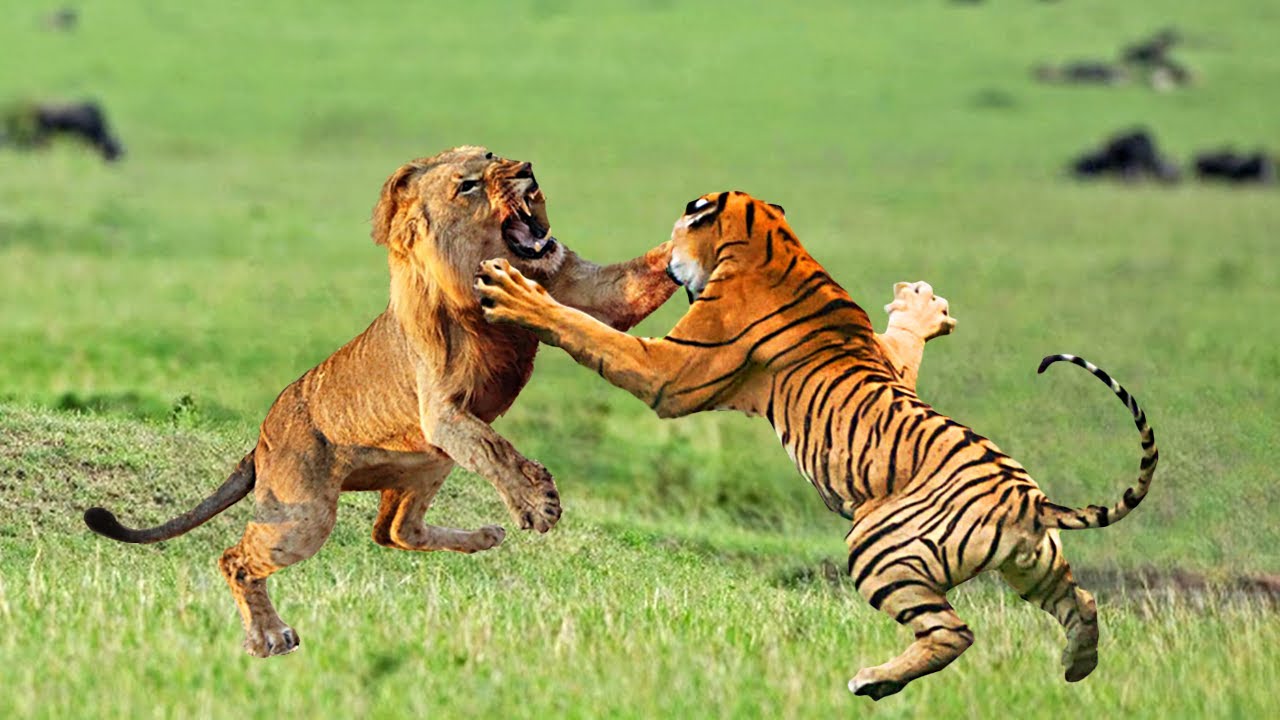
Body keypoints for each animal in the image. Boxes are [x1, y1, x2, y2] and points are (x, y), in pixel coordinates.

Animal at [83, 146, 678, 657]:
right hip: (306, 514)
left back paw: (482, 537)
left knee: (393, 531)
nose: (526, 169)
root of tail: (260, 440)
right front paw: (537, 503)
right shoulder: (442, 411)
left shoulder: (584, 292)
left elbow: (630, 284)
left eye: (492, 155)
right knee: (237, 558)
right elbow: (496, 450)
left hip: (424, 464)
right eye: (468, 185)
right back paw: (270, 636)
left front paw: (690, 234)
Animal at [473, 190, 1159, 699]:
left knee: (954, 632)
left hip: (878, 546)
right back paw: (1077, 665)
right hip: (1036, 565)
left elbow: (588, 331)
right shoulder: (885, 359)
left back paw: (873, 682)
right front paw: (922, 306)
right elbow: (903, 348)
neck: (773, 240)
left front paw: (520, 297)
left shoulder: (669, 372)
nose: (662, 255)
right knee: (1084, 602)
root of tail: (1031, 502)